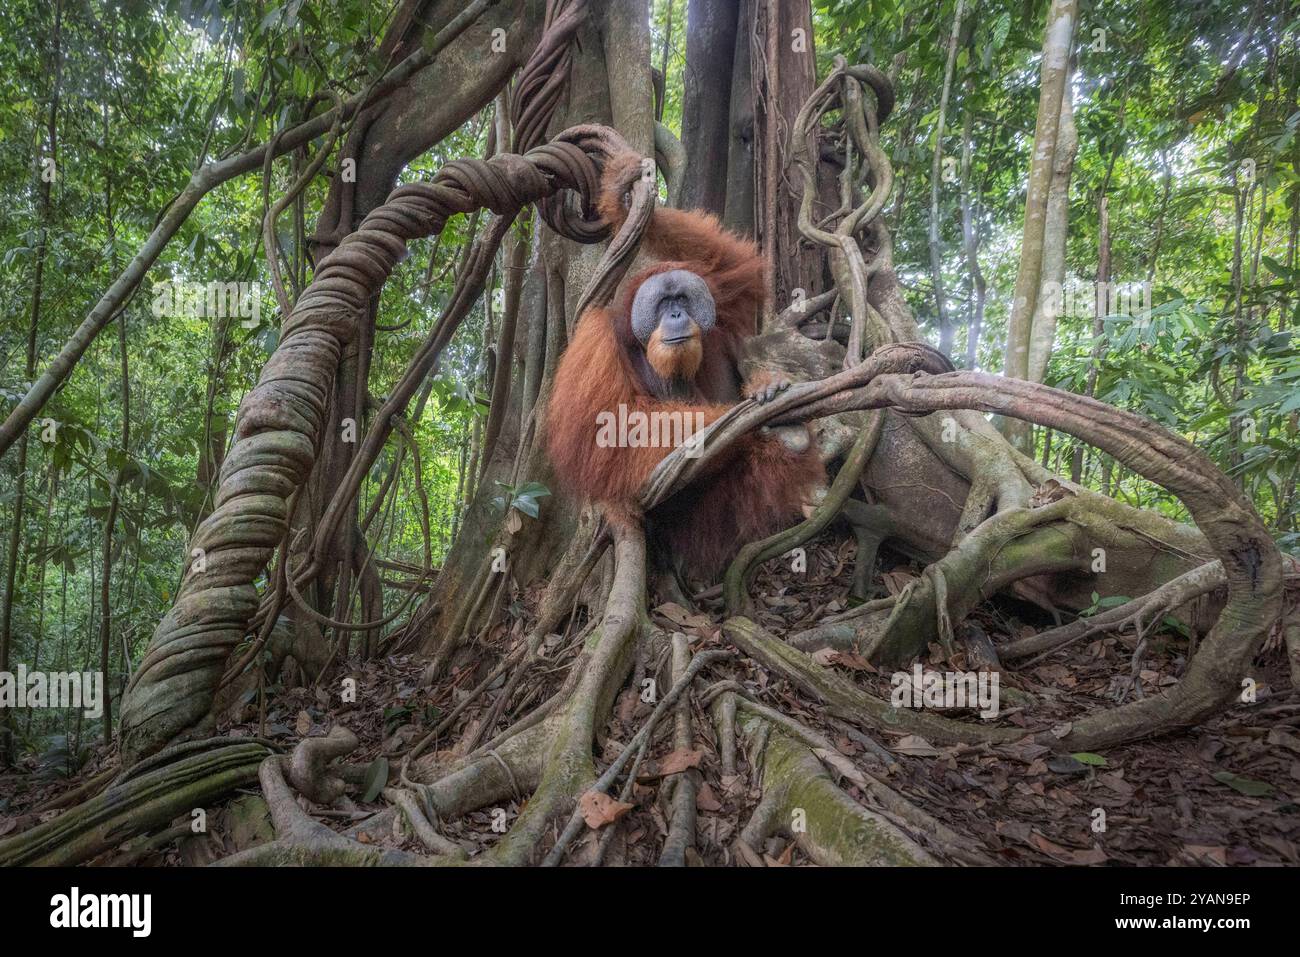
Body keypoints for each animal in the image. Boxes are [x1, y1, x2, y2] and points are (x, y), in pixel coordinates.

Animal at [545, 151, 824, 582]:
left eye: (682, 299)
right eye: (662, 304)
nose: (676, 314)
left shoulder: (720, 298)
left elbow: (732, 266)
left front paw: (625, 195)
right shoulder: (593, 341)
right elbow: (609, 427)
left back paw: (785, 426)